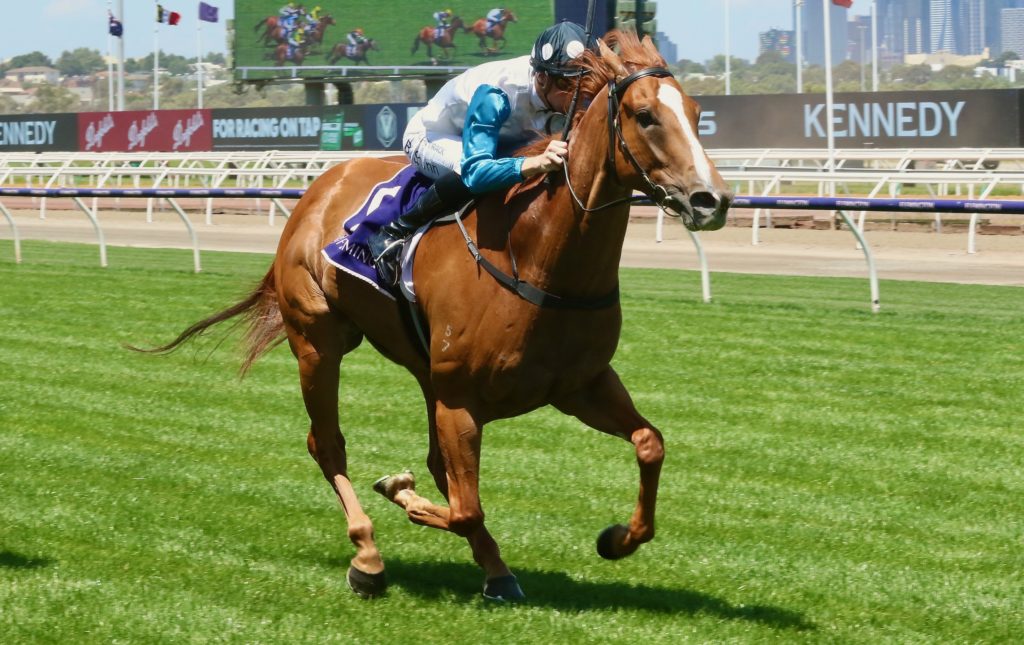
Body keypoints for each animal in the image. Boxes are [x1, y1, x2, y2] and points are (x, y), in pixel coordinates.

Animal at [141, 31, 731, 601]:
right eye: (645, 114)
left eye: (697, 111)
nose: (712, 200)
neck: (538, 256)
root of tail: (319, 189)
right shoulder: (460, 398)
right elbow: (466, 507)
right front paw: (400, 494)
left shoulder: (580, 384)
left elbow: (650, 443)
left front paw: (617, 538)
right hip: (318, 341)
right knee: (327, 444)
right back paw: (368, 556)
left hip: (424, 371)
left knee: (429, 462)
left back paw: (493, 569)